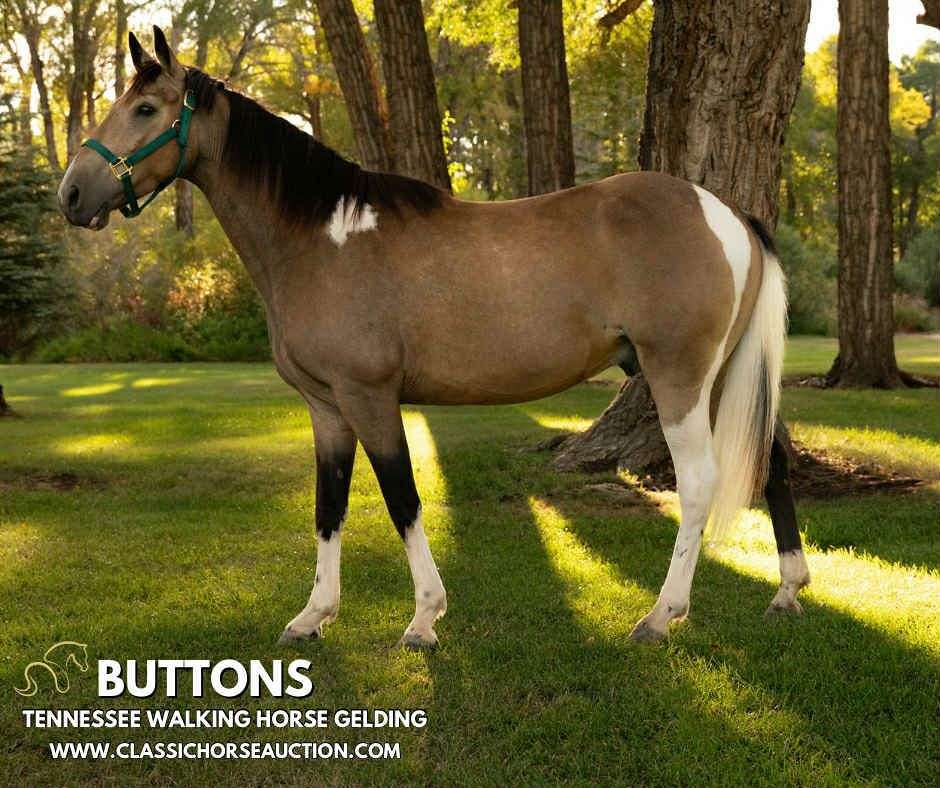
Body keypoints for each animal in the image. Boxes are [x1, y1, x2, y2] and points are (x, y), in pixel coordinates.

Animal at [57, 27, 810, 648]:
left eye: (145, 109)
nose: (70, 194)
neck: (320, 236)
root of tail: (725, 211)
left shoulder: (370, 397)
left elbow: (402, 500)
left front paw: (423, 617)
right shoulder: (326, 409)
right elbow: (328, 506)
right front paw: (313, 615)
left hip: (677, 376)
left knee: (700, 482)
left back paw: (660, 616)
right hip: (724, 373)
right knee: (772, 457)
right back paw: (788, 591)